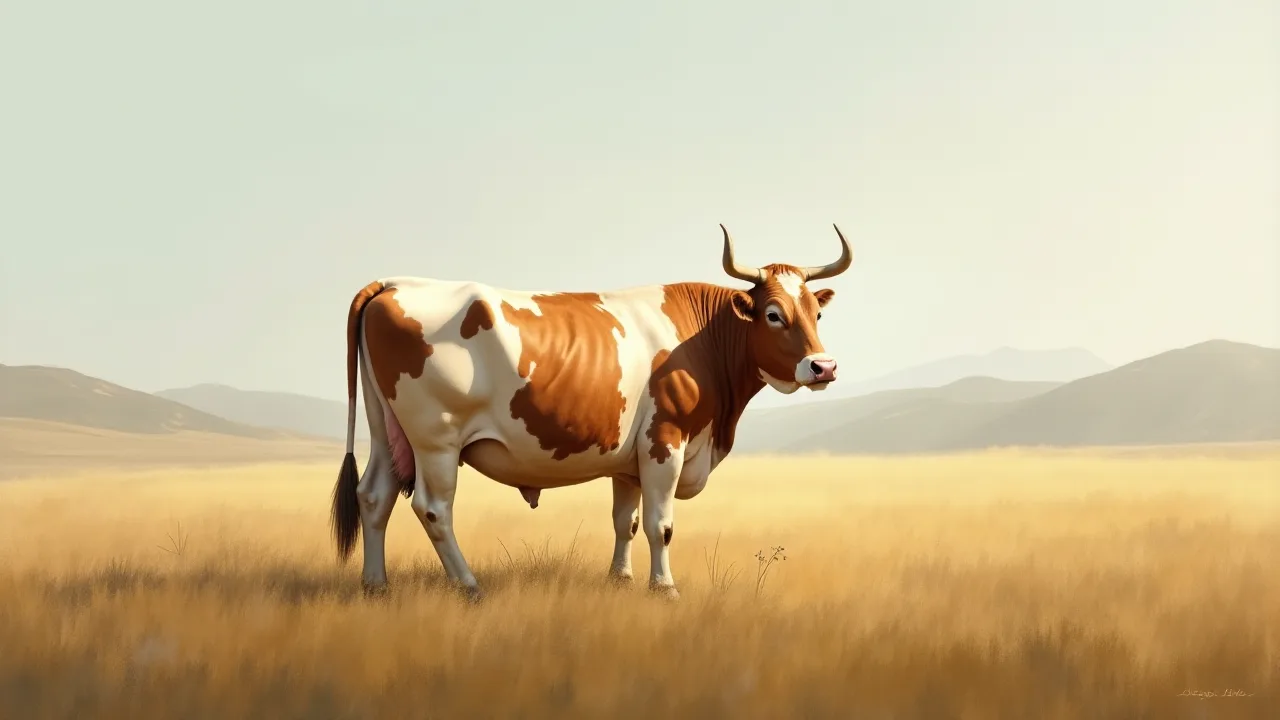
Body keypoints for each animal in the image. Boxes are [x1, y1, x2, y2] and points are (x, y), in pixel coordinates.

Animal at [330, 224, 853, 601]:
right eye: (773, 314)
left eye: (817, 314)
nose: (823, 366)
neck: (702, 339)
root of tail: (394, 282)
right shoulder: (665, 440)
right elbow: (661, 525)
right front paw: (664, 588)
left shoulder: (629, 459)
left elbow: (627, 521)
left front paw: (620, 579)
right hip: (435, 438)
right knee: (433, 508)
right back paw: (469, 585)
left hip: (386, 429)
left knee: (374, 496)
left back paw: (375, 587)